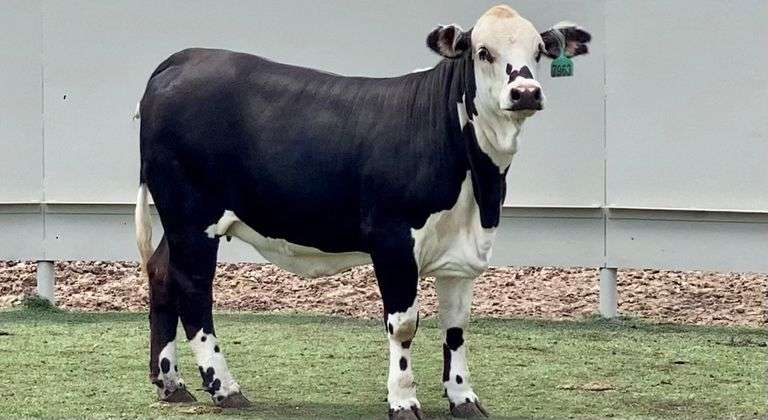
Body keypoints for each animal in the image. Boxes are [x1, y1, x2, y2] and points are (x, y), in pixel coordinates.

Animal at [134, 5, 590, 419]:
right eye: (482, 52)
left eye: (539, 51)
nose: (525, 92)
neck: (477, 188)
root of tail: (187, 57)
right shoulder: (393, 241)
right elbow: (404, 324)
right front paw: (403, 401)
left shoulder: (462, 251)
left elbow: (457, 325)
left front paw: (464, 399)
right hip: (193, 216)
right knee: (194, 288)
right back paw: (224, 388)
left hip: (177, 220)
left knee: (161, 272)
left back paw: (171, 383)